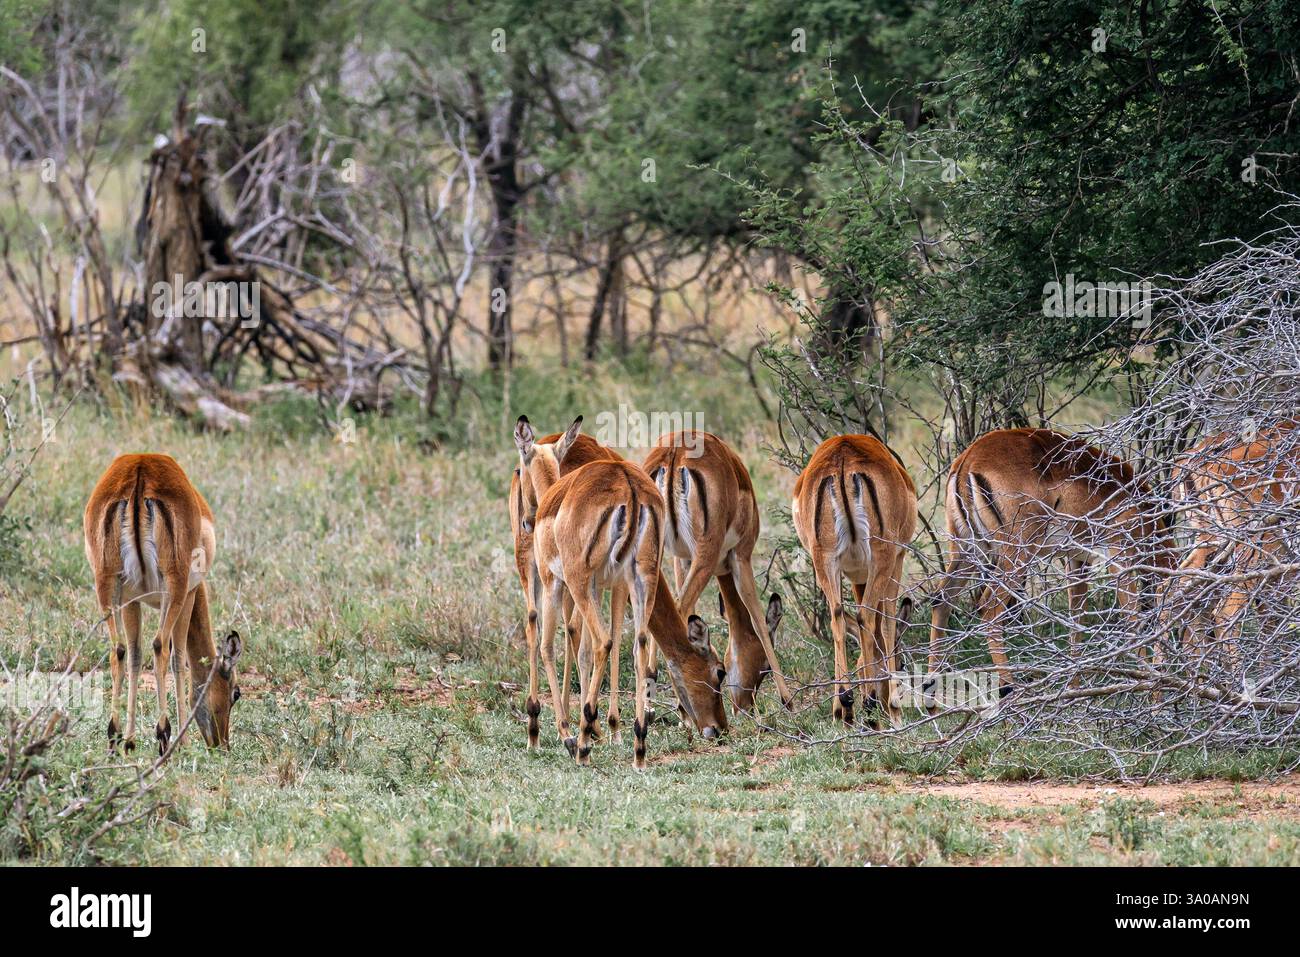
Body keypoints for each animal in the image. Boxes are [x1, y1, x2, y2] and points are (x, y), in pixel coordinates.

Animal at [83, 454, 243, 754]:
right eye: (236, 693)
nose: (222, 745)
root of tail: (139, 470)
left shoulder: (131, 600)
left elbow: (135, 656)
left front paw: (130, 741)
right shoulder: (189, 594)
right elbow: (179, 659)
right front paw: (183, 742)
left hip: (107, 583)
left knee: (118, 649)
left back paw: (114, 737)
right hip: (175, 587)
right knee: (160, 646)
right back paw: (164, 735)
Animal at [532, 457, 727, 766]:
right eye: (720, 671)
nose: (720, 728)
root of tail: (627, 484)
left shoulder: (555, 581)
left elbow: (549, 648)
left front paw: (569, 735)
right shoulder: (608, 586)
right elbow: (583, 651)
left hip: (579, 581)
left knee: (603, 642)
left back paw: (583, 745)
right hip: (641, 578)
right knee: (639, 644)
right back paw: (639, 746)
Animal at [644, 431, 792, 711]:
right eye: (765, 667)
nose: (744, 706)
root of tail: (674, 453)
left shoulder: (682, 559)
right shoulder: (741, 557)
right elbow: (758, 620)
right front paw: (788, 699)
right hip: (706, 556)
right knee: (677, 611)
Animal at [792, 435, 918, 726]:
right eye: (904, 665)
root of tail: (843, 457)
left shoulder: (855, 574)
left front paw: (841, 709)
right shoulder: (897, 559)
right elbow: (887, 625)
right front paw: (893, 711)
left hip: (824, 560)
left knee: (837, 618)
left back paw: (846, 704)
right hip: (882, 557)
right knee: (867, 618)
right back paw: (871, 707)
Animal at [928, 428, 1172, 694]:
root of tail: (968, 460)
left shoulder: (1077, 561)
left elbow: (1077, 620)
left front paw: (1074, 689)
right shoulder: (1120, 556)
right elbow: (1132, 619)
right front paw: (1152, 687)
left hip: (967, 550)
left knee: (941, 600)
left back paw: (931, 690)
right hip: (1016, 555)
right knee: (988, 609)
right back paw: (1009, 689)